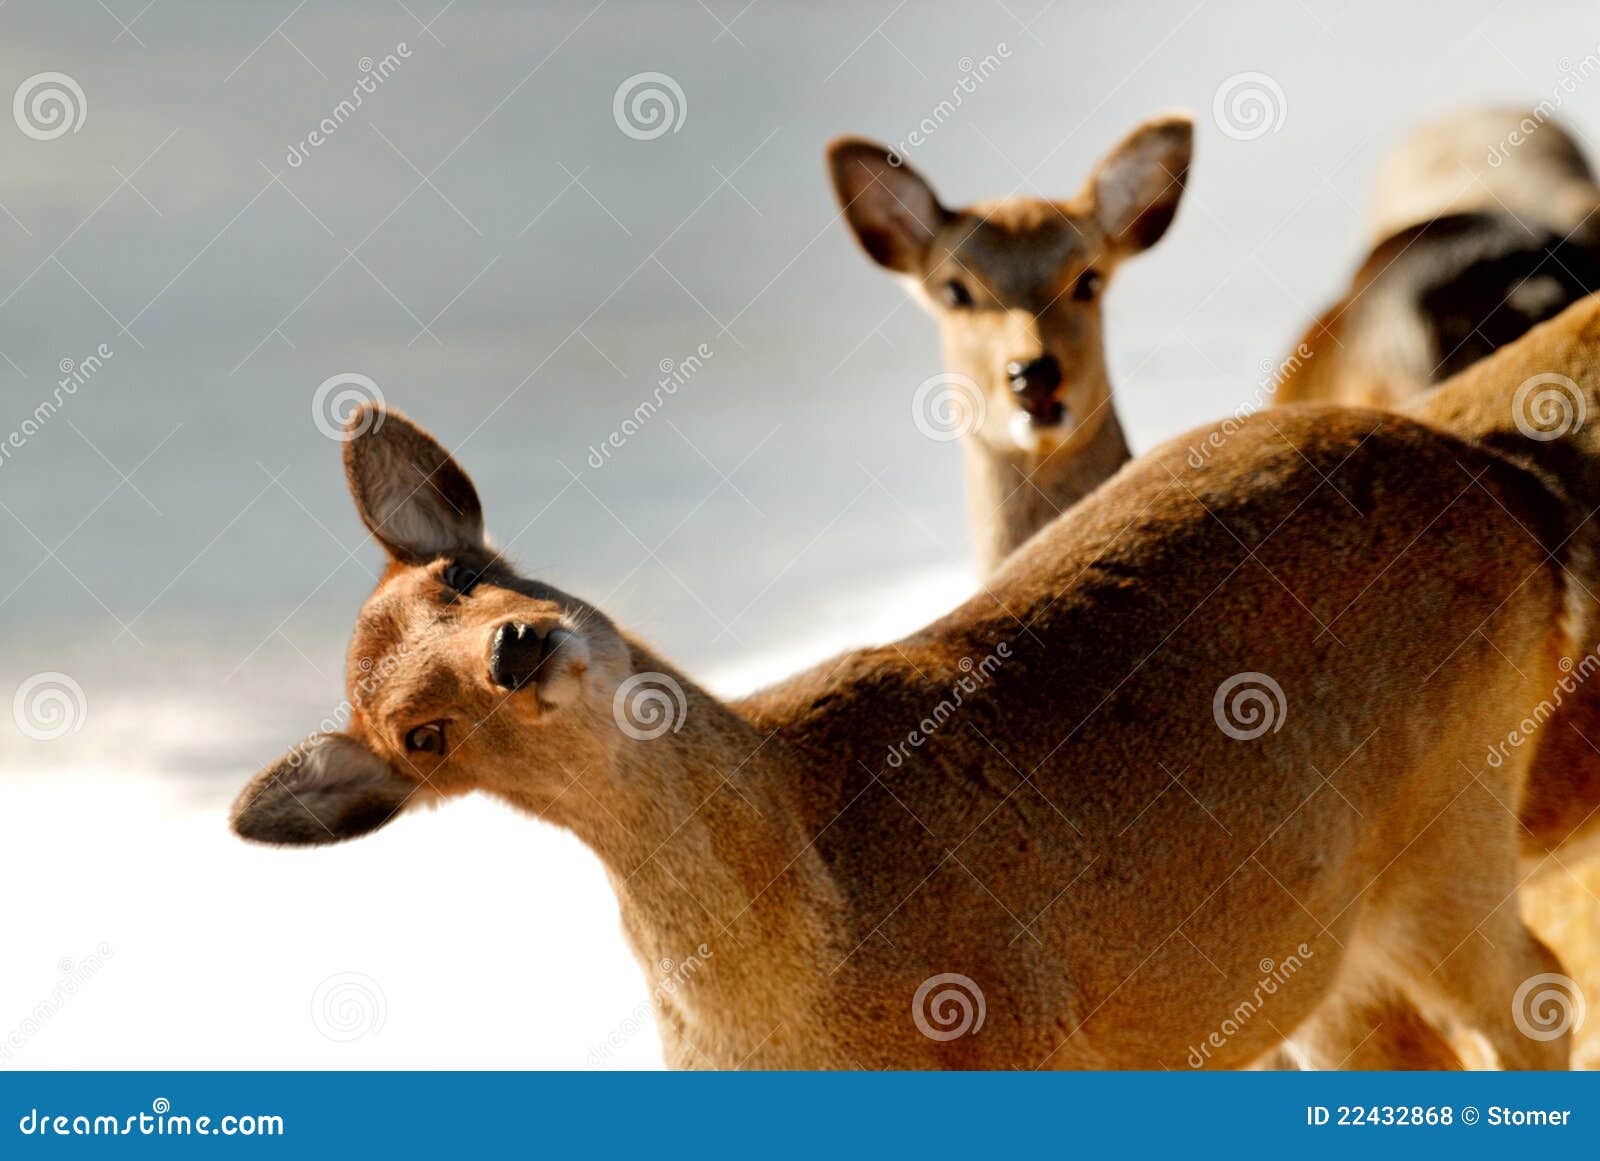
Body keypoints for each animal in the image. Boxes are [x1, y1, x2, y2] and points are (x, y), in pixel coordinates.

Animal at [231, 400, 1579, 1070]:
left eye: (463, 573)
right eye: (421, 737)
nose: (521, 647)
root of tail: (1514, 493)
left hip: (1457, 799)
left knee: (1540, 996)